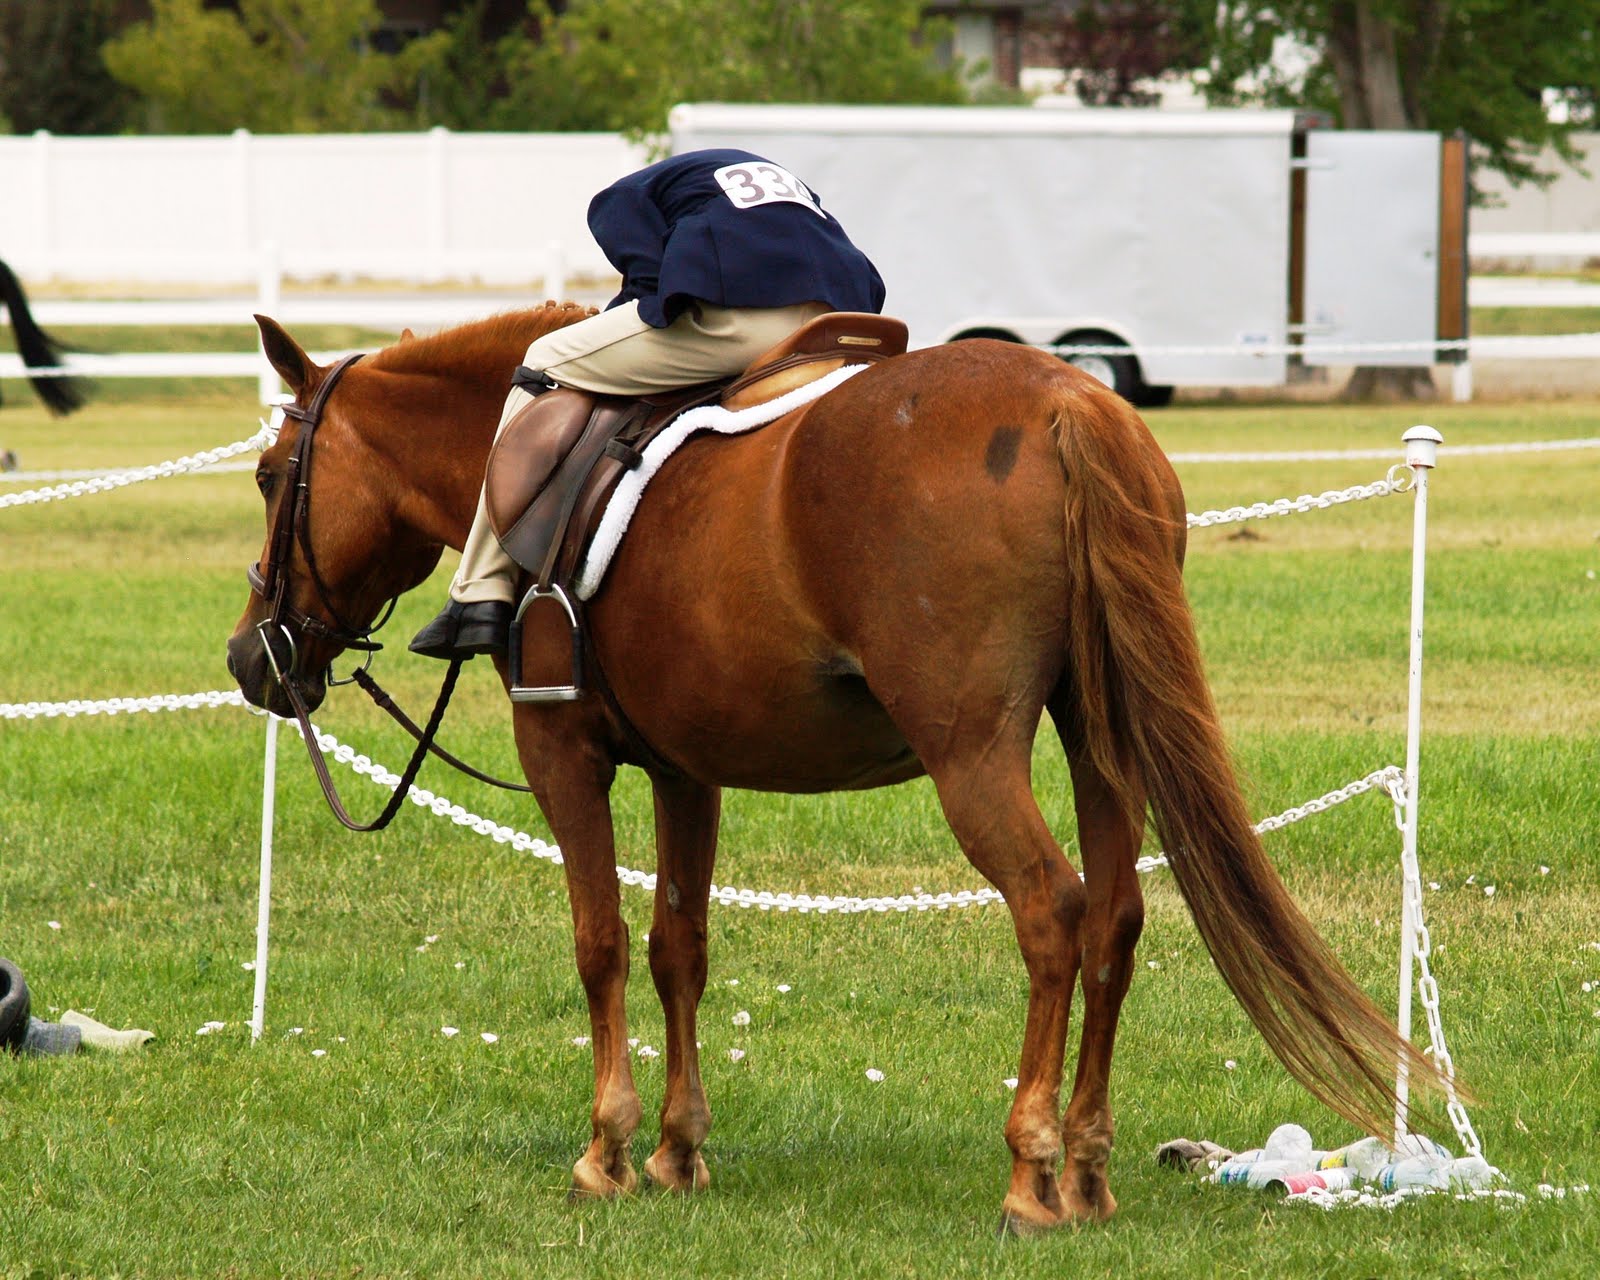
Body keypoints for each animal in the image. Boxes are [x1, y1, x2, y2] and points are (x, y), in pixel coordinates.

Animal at [226, 303, 1442, 1231]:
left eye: (273, 474)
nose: (252, 656)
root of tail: (1073, 402)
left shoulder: (564, 751)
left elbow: (601, 944)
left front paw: (608, 1150)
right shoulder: (686, 771)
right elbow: (678, 948)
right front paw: (678, 1149)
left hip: (971, 753)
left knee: (1051, 909)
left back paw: (1032, 1168)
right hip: (1102, 743)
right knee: (1114, 920)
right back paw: (1088, 1166)